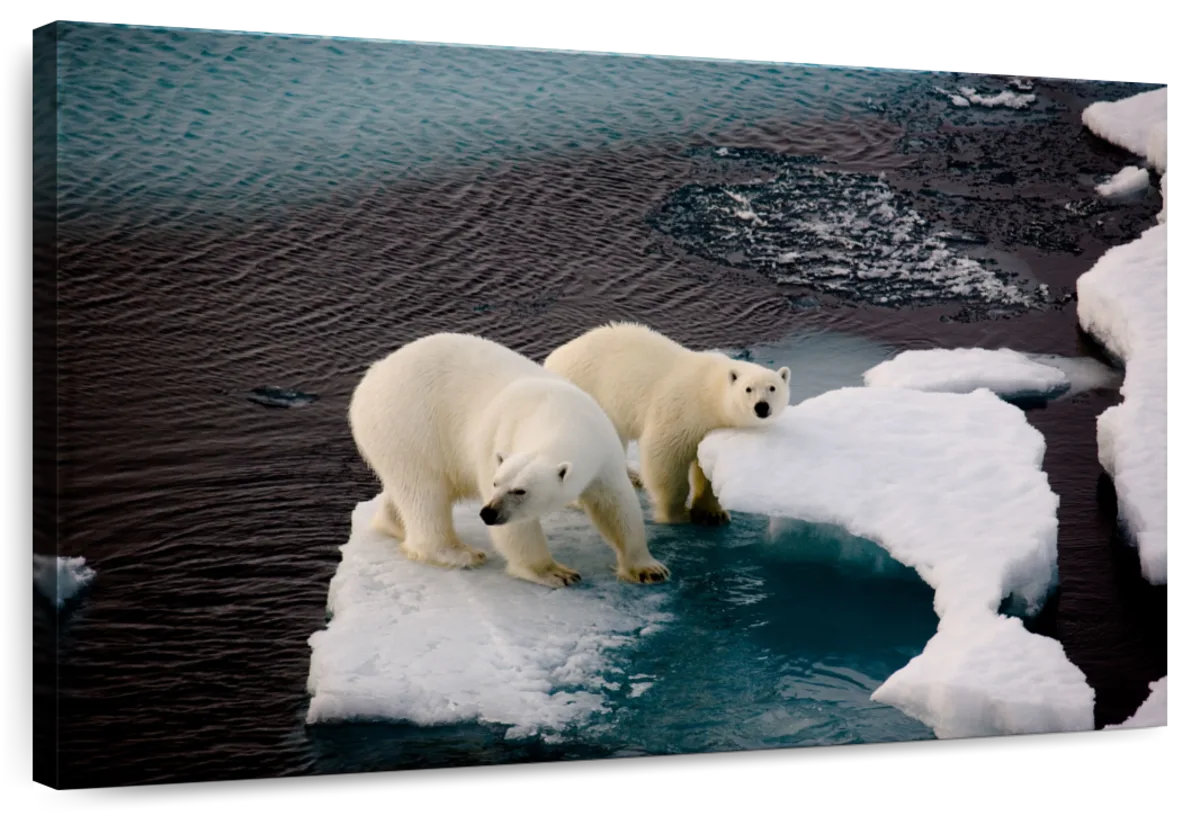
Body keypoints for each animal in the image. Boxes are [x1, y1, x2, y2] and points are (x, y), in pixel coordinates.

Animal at [348, 332, 669, 588]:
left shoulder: (602, 449)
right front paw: (555, 572)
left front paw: (648, 568)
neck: (557, 412)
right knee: (424, 492)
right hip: (408, 424)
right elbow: (518, 531)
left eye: (520, 490)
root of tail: (370, 377)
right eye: (495, 483)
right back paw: (460, 552)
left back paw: (393, 524)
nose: (488, 513)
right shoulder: (499, 438)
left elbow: (616, 505)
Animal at [544, 323, 790, 526]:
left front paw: (712, 513)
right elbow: (665, 459)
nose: (762, 407)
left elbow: (706, 465)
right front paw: (676, 514)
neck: (708, 392)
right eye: (748, 389)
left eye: (772, 387)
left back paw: (632, 477)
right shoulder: (680, 411)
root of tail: (551, 360)